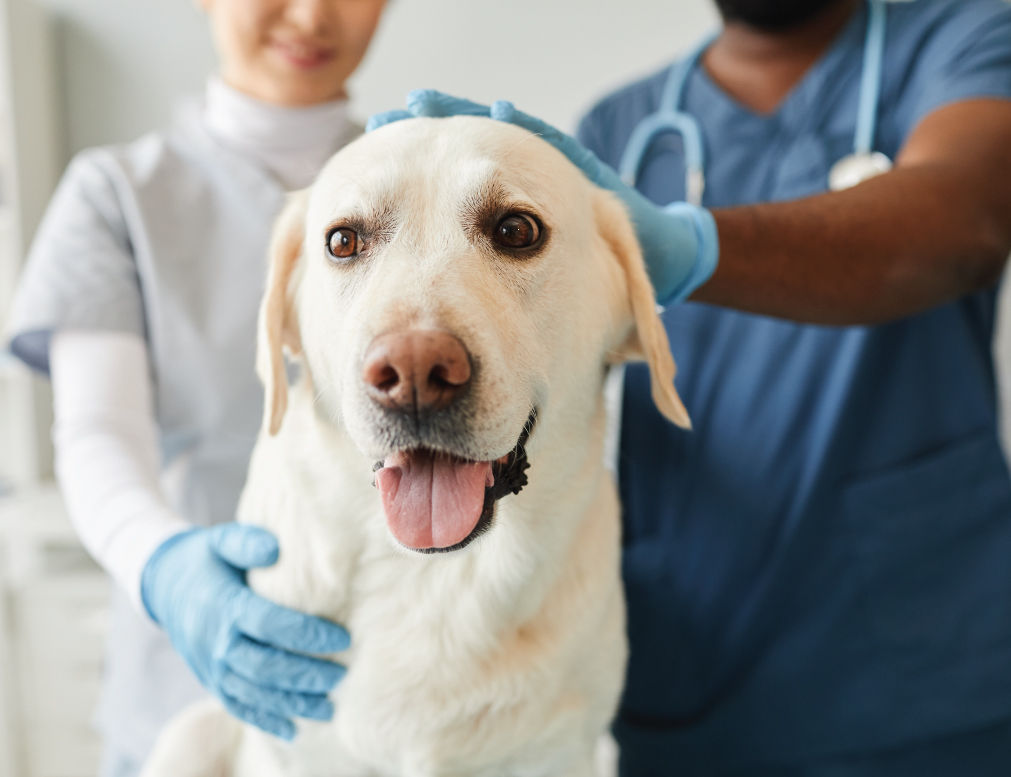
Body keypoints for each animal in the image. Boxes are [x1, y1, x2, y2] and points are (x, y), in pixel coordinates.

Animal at [138, 115, 691, 775]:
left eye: (517, 230)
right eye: (342, 241)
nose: (414, 373)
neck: (432, 577)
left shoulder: (560, 752)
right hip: (188, 736)